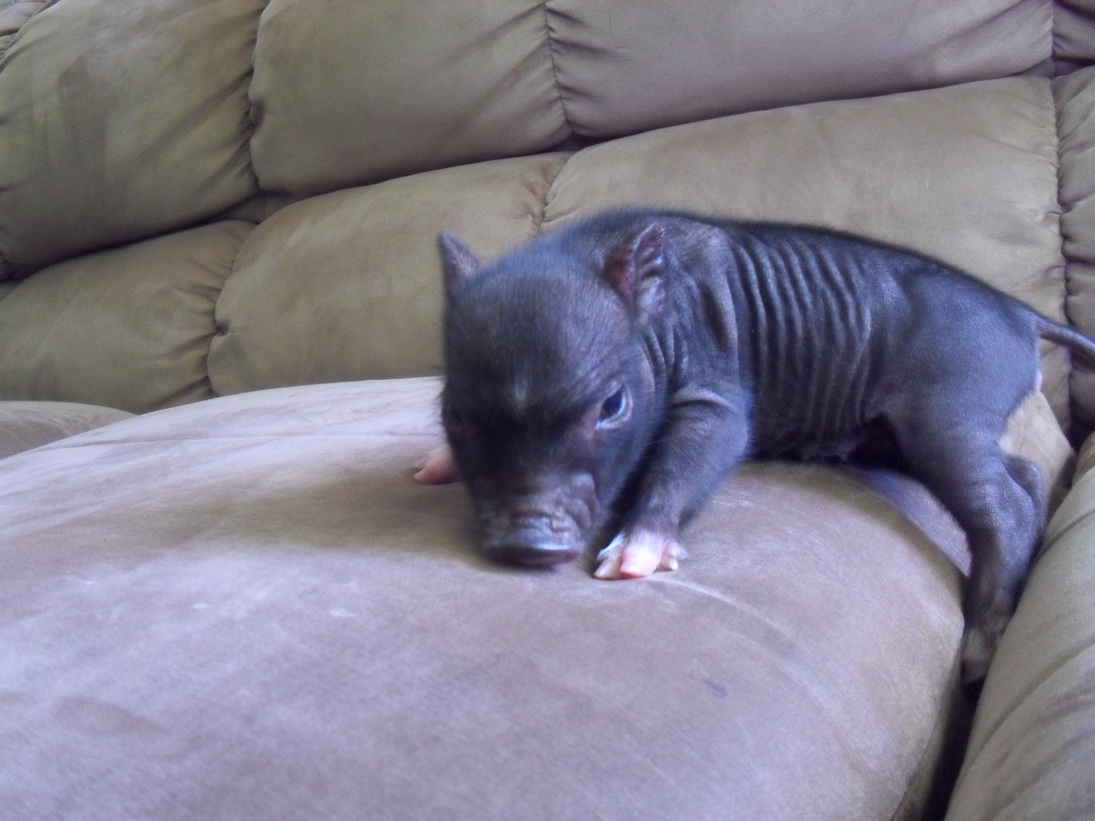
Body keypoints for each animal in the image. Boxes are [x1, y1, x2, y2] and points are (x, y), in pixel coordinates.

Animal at [414, 209, 1095, 683]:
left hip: (947, 411)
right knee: (1026, 474)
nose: (528, 545)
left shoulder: (716, 391)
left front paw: (630, 561)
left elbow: (701, 450)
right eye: (454, 411)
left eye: (611, 405)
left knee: (1001, 504)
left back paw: (976, 656)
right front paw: (429, 468)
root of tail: (1020, 312)